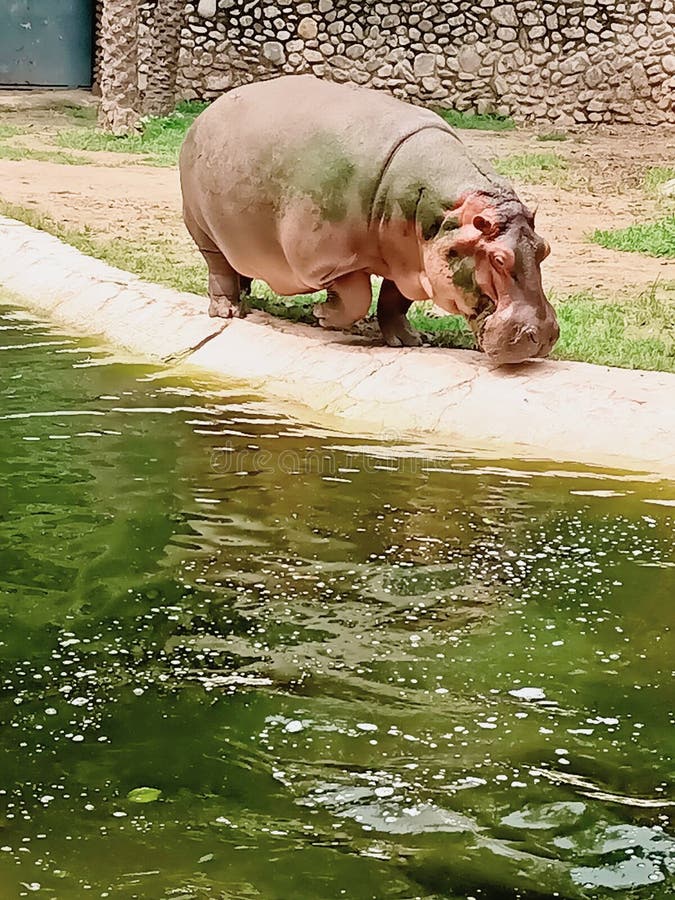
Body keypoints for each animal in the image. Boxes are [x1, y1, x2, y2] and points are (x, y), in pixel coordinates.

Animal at [179, 75, 559, 364]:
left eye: (544, 249)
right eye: (498, 258)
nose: (542, 335)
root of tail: (209, 110)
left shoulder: (412, 263)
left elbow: (395, 300)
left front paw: (409, 340)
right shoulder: (327, 261)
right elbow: (358, 295)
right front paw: (322, 314)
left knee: (238, 267)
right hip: (203, 229)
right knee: (219, 269)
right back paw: (228, 311)